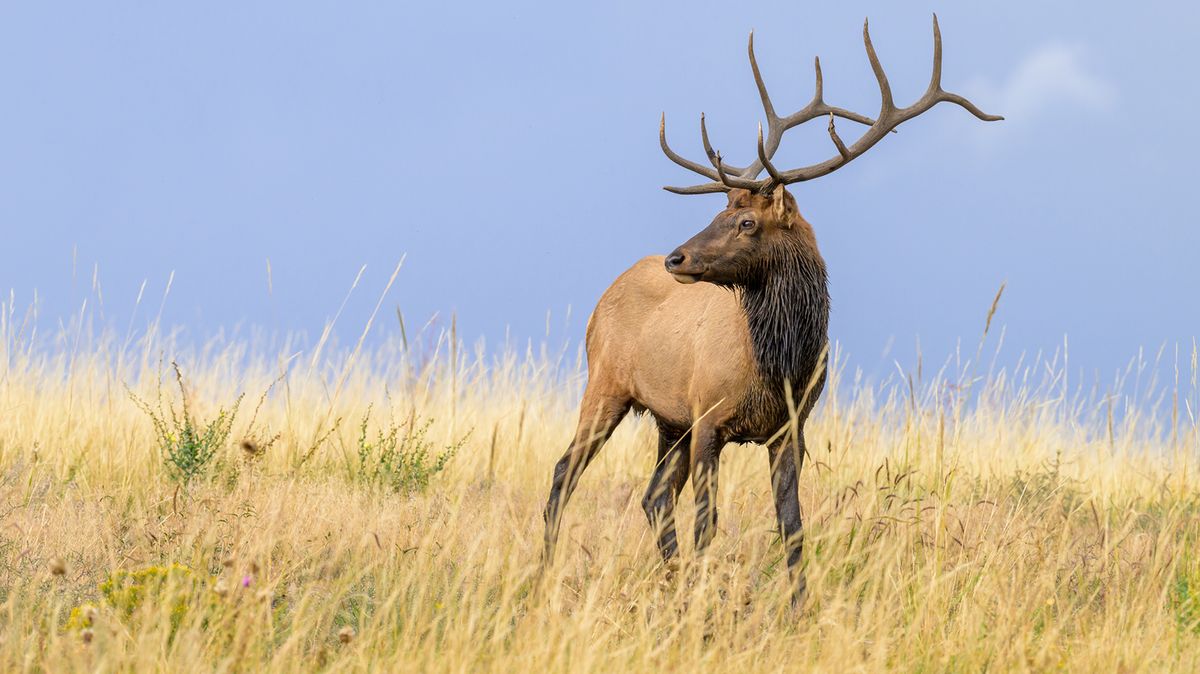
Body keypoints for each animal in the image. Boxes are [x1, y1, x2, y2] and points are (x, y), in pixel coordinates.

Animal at [541, 16, 1000, 605]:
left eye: (745, 222)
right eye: (719, 211)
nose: (676, 256)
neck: (780, 362)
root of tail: (601, 302)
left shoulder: (788, 428)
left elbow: (791, 523)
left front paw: (797, 606)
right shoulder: (710, 414)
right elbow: (709, 522)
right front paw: (706, 603)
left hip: (668, 419)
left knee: (653, 497)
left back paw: (668, 582)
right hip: (606, 383)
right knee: (564, 473)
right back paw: (543, 573)